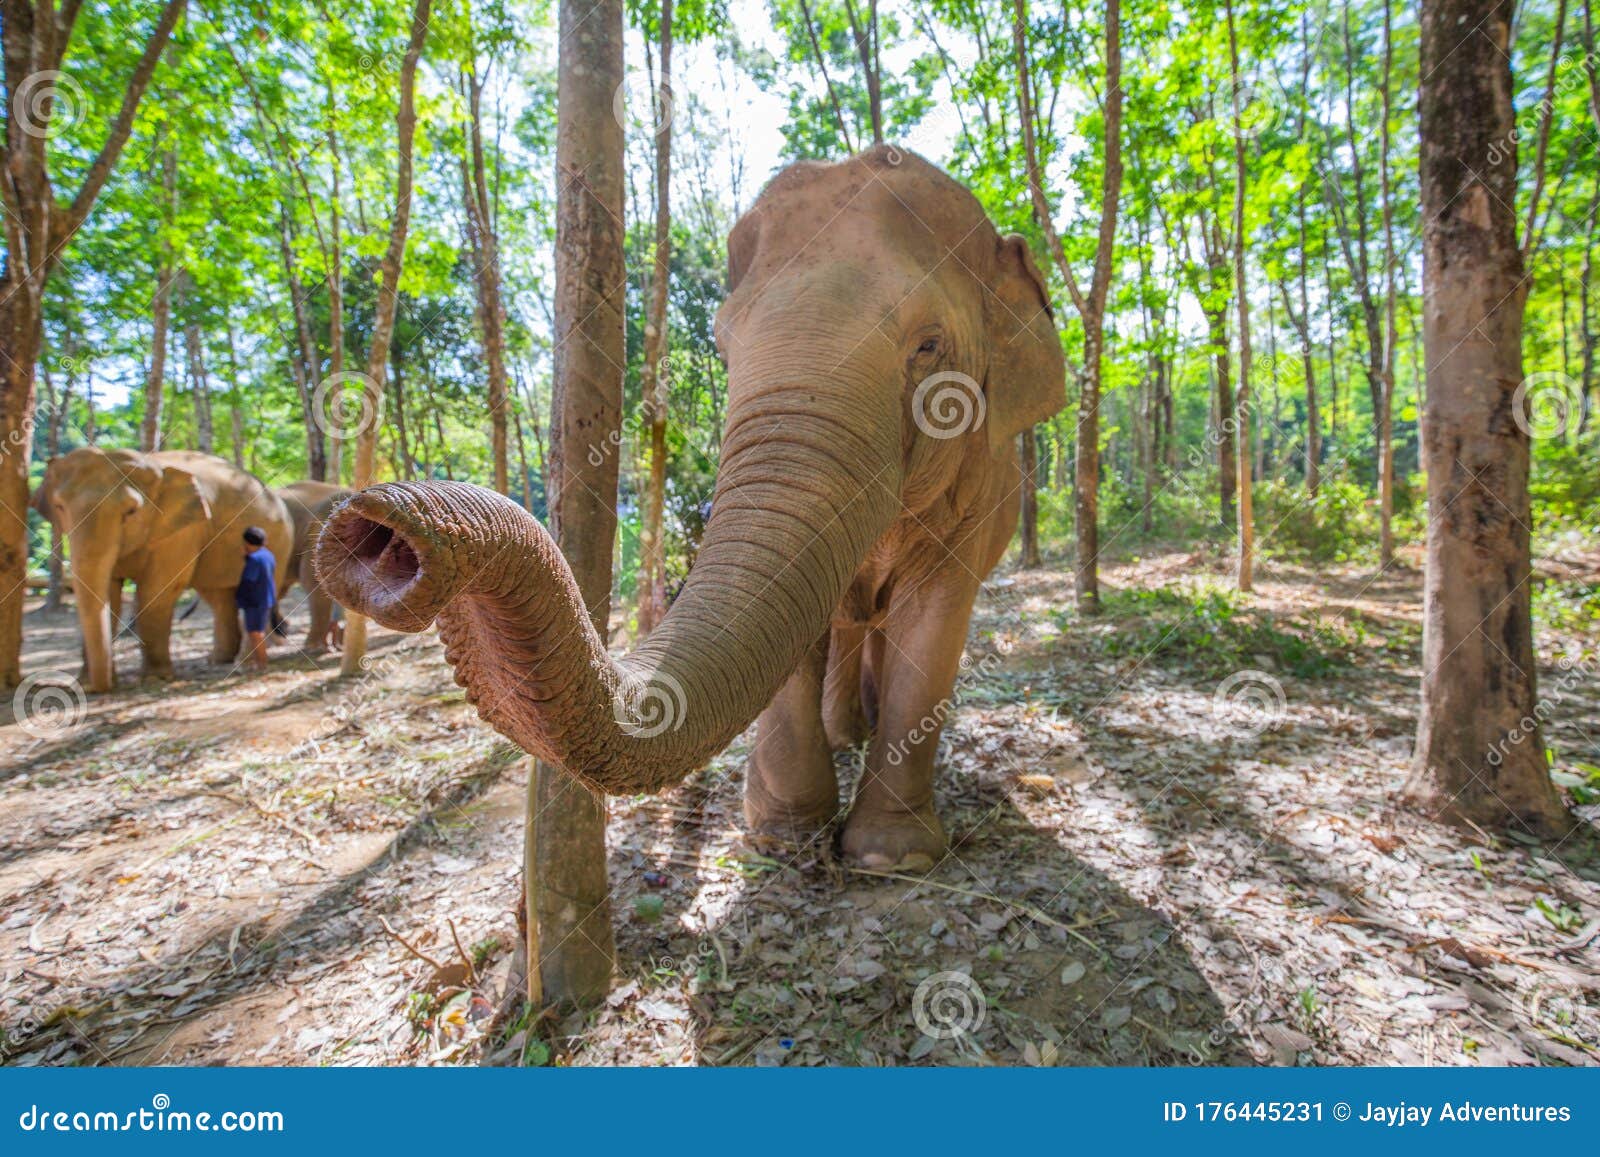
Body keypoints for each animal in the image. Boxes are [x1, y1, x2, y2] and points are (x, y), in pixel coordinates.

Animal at [33, 448, 295, 693]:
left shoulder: (182, 531)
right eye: (59, 506)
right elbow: (110, 591)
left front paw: (155, 679)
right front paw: (86, 684)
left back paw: (244, 663)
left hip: (279, 542)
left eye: (131, 511)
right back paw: (219, 660)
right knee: (218, 597)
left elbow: (157, 590)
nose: (99, 687)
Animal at [315, 146, 1064, 870]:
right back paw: (846, 735)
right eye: (724, 345)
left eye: (929, 345)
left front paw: (891, 857)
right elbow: (798, 626)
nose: (380, 533)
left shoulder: (979, 491)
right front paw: (782, 837)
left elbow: (933, 622)